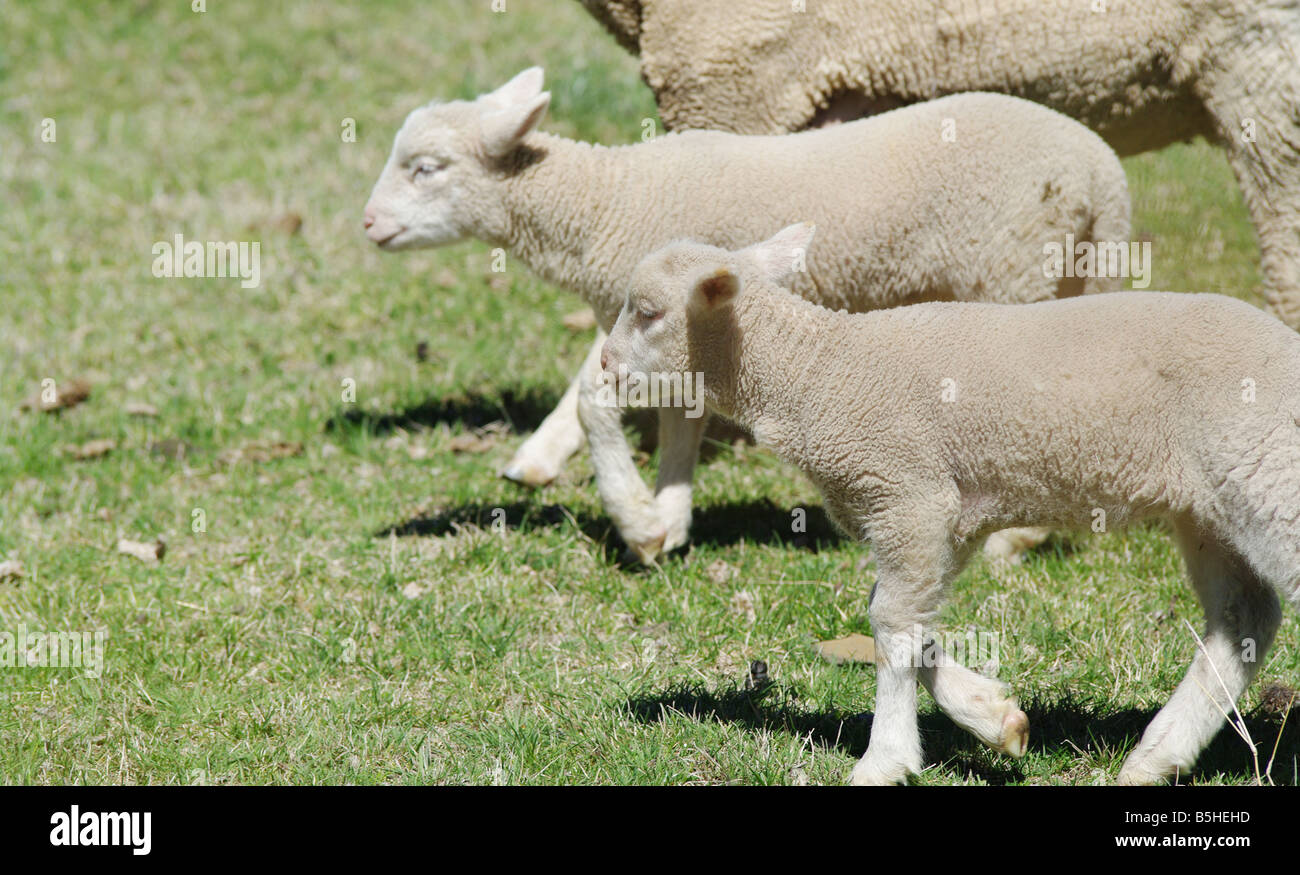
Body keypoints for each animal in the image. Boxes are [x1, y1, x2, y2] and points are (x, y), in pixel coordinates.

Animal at [363, 67, 1131, 562]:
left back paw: (1013, 540)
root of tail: (1104, 171)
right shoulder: (689, 335)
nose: (367, 223)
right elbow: (679, 421)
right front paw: (665, 517)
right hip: (1067, 275)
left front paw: (634, 517)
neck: (606, 201)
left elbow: (591, 397)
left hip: (1010, 271)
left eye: (426, 168)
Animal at [600, 223, 1300, 785]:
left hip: (1270, 473)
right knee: (1243, 618)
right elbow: (906, 617)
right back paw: (1155, 757)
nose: (604, 365)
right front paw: (996, 720)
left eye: (649, 313)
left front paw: (883, 760)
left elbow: (892, 623)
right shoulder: (946, 512)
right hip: (1209, 508)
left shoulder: (908, 492)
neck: (817, 374)